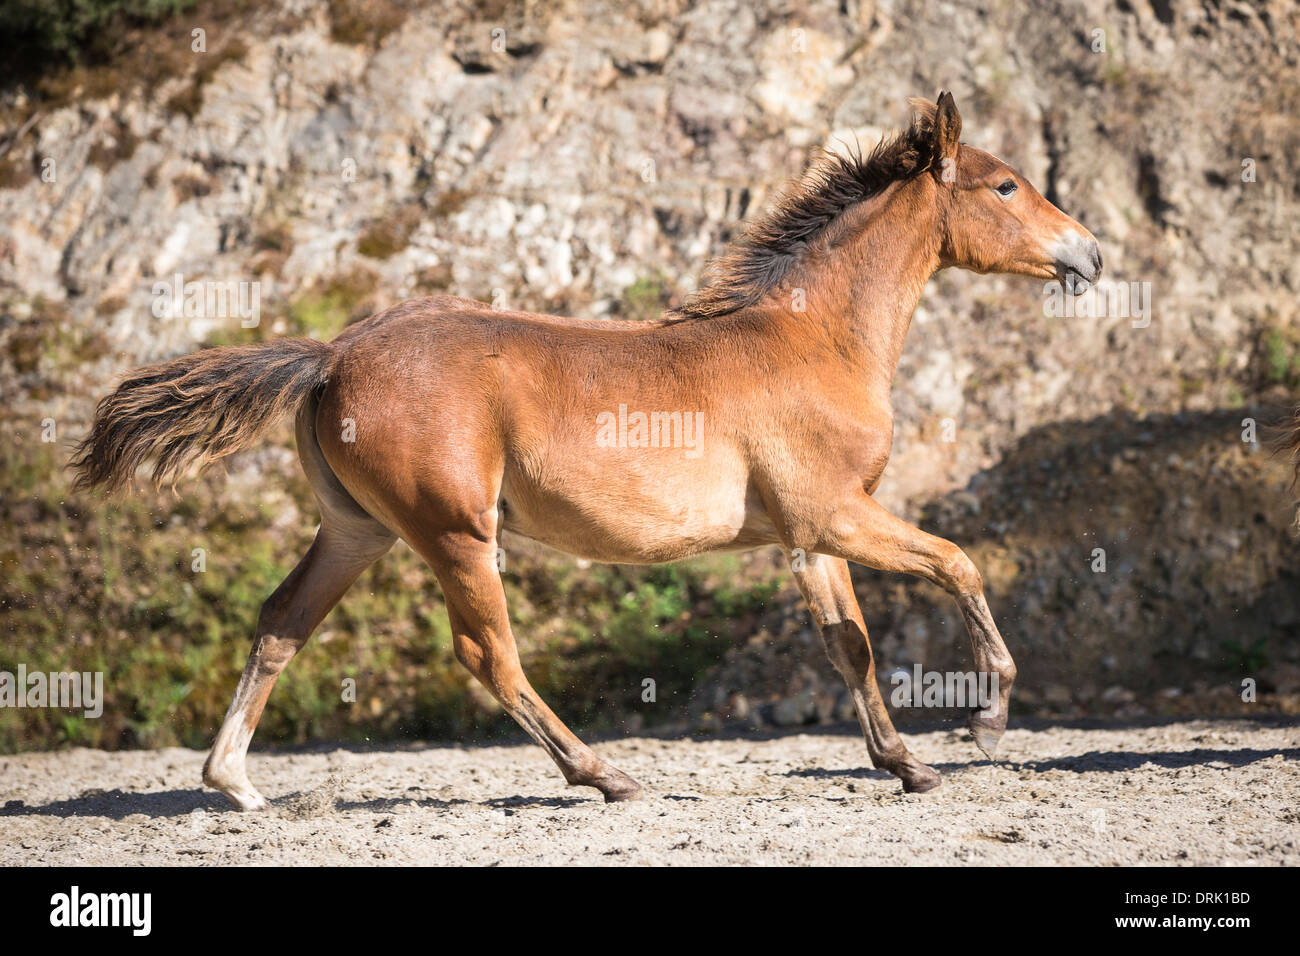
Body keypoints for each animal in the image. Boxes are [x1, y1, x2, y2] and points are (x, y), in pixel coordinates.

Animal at [72, 92, 1101, 809]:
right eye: (1005, 185)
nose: (1088, 254)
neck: (813, 338)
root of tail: (331, 356)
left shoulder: (810, 535)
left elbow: (848, 644)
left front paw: (906, 765)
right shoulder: (837, 513)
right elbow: (960, 563)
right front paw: (988, 719)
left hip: (356, 531)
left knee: (282, 622)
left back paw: (235, 784)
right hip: (455, 533)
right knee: (488, 655)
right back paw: (603, 775)